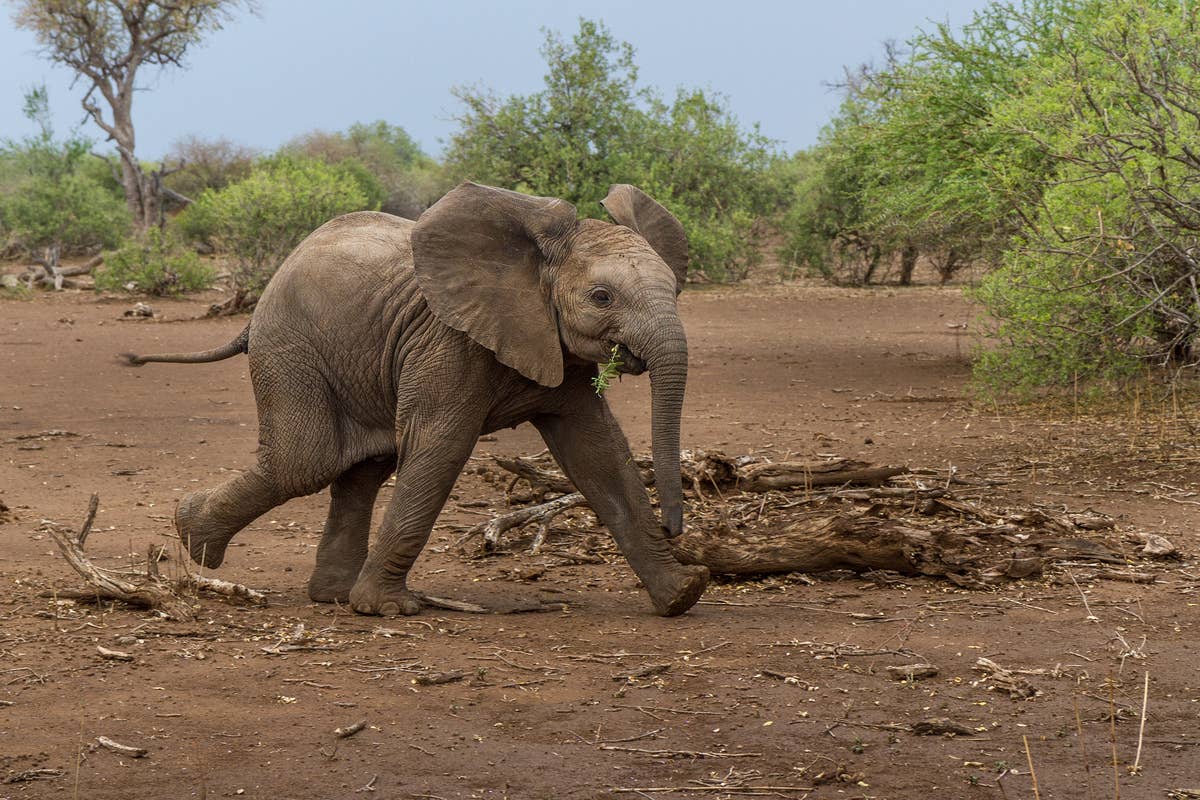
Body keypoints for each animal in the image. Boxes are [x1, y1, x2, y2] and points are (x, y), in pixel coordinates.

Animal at [123, 181, 709, 617]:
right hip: (289, 348)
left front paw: (683, 594)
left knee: (361, 470)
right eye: (601, 297)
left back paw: (329, 595)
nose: (675, 527)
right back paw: (194, 536)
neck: (532, 260)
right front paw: (387, 609)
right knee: (305, 462)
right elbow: (441, 445)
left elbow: (598, 453)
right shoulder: (450, 341)